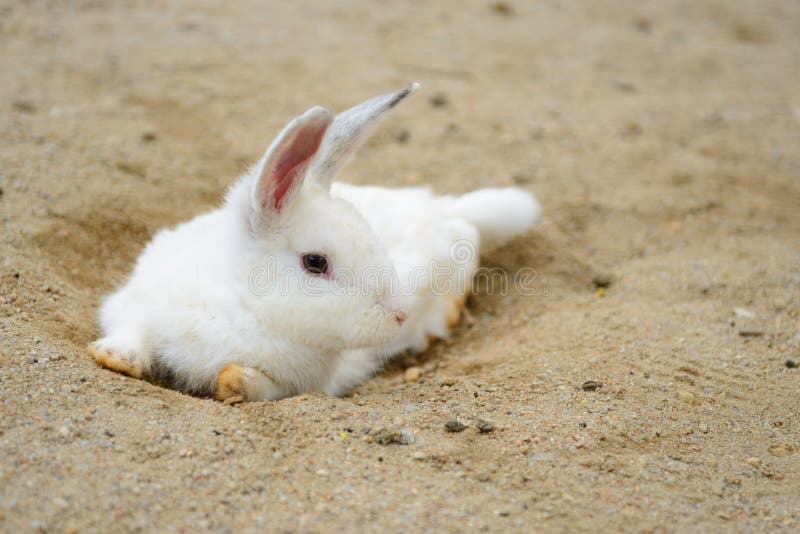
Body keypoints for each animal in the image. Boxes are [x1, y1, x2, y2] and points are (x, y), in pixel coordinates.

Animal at [89, 83, 540, 402]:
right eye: (315, 262)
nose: (399, 314)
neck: (245, 304)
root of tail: (443, 208)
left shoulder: (294, 384)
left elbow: (257, 385)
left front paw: (233, 382)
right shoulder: (135, 305)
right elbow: (132, 334)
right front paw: (115, 358)